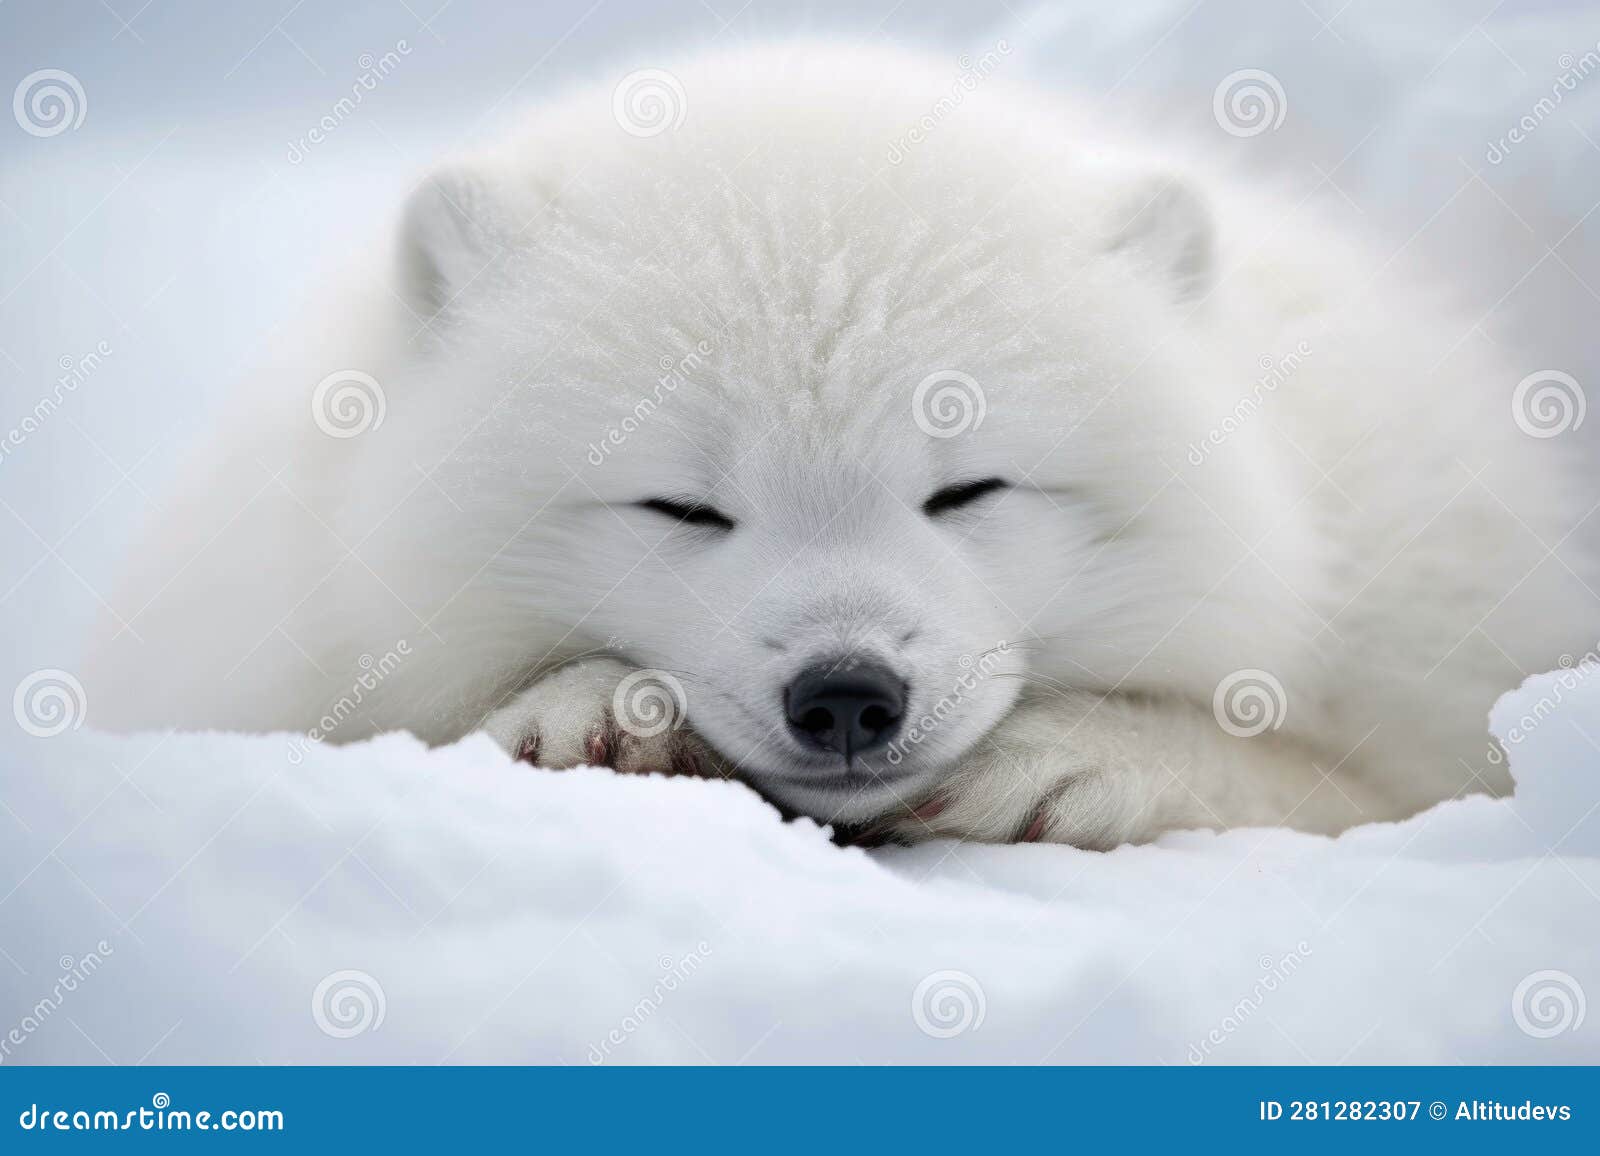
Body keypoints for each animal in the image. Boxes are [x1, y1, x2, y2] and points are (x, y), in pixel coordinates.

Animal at [88, 43, 1597, 848]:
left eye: (967, 487)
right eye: (683, 506)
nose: (849, 693)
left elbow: (1339, 781)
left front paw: (1086, 759)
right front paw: (589, 711)